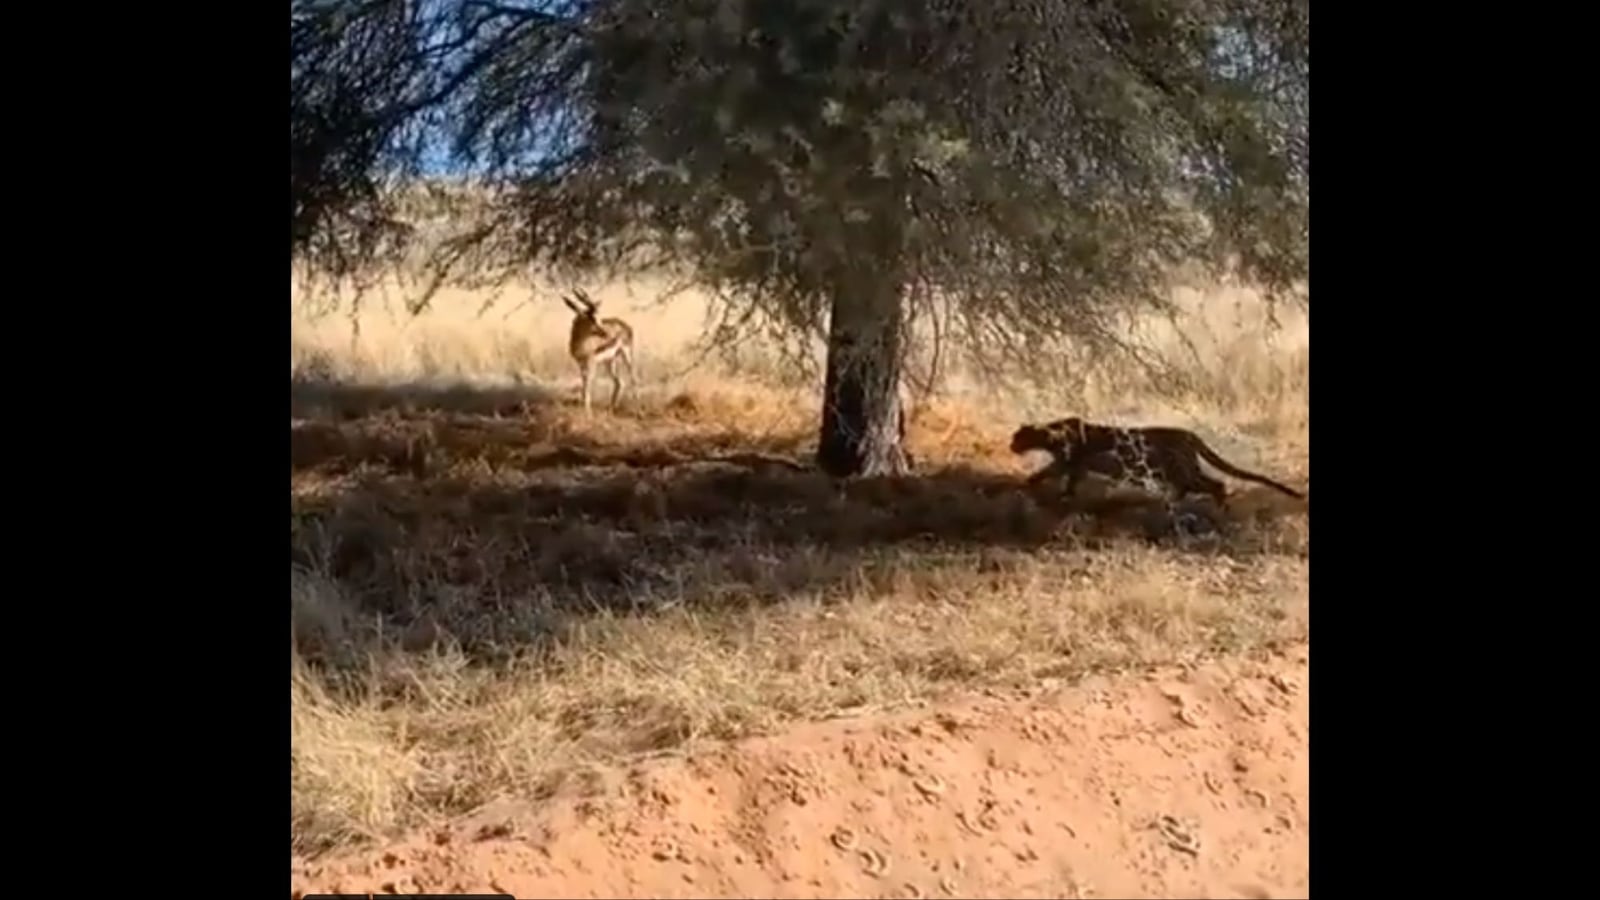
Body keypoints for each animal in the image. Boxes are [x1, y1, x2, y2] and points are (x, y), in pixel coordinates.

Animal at [1009, 416, 1305, 508]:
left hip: (1177, 469)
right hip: (1179, 470)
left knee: (1214, 484)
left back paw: (1218, 506)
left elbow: (1053, 473)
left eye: (1017, 438)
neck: (1052, 433)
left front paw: (1038, 484)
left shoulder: (1070, 463)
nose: (1010, 446)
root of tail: (1188, 433)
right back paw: (1172, 502)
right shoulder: (1073, 466)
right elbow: (1062, 477)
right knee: (1199, 485)